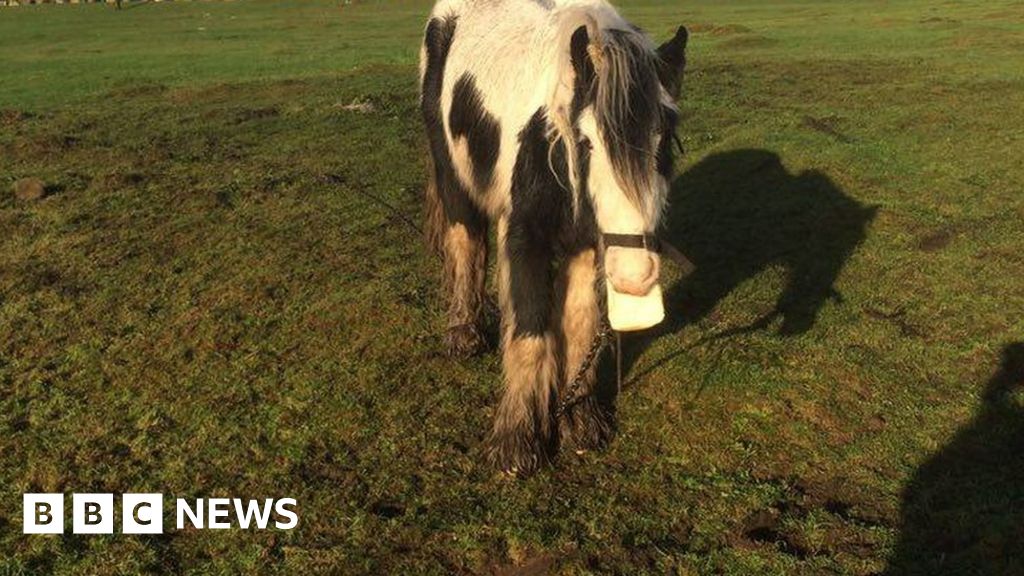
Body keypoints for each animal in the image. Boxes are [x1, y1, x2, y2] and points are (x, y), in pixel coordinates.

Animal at [419, 0, 688, 474]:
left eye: (664, 142)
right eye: (587, 141)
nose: (633, 277)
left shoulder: (586, 243)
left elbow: (579, 325)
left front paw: (579, 419)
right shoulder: (525, 235)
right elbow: (530, 327)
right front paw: (516, 442)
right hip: (451, 172)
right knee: (466, 241)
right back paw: (463, 332)